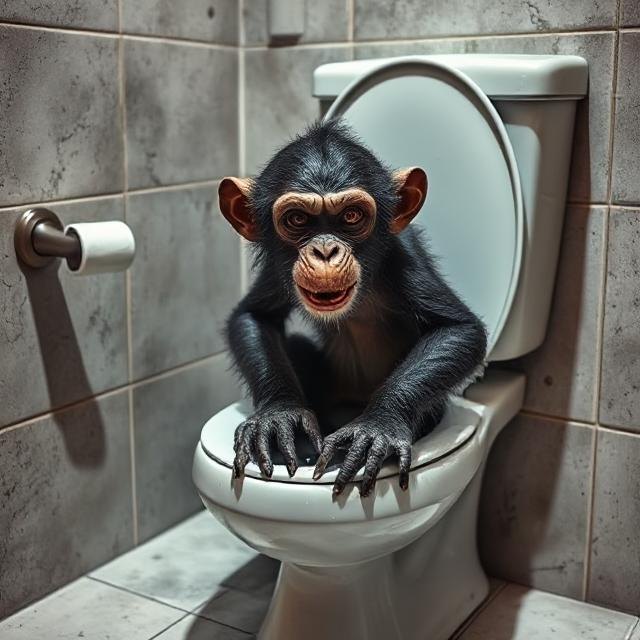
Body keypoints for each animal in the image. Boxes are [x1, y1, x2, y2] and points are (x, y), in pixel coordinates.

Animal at [218, 119, 487, 498]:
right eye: (298, 219)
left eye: (351, 215)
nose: (325, 250)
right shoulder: (275, 267)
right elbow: (254, 316)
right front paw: (278, 414)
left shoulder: (403, 256)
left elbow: (458, 330)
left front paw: (378, 426)